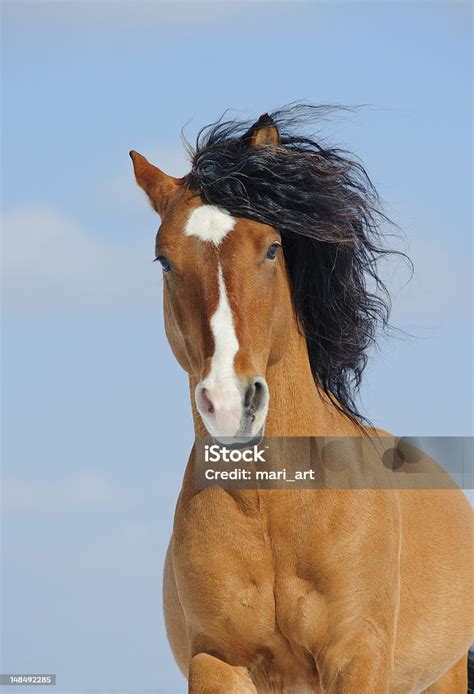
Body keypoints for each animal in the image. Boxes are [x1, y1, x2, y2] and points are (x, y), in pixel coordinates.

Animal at [130, 106, 473, 693]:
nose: (230, 404)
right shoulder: (218, 660)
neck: (274, 508)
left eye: (272, 247)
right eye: (164, 261)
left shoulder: (356, 656)